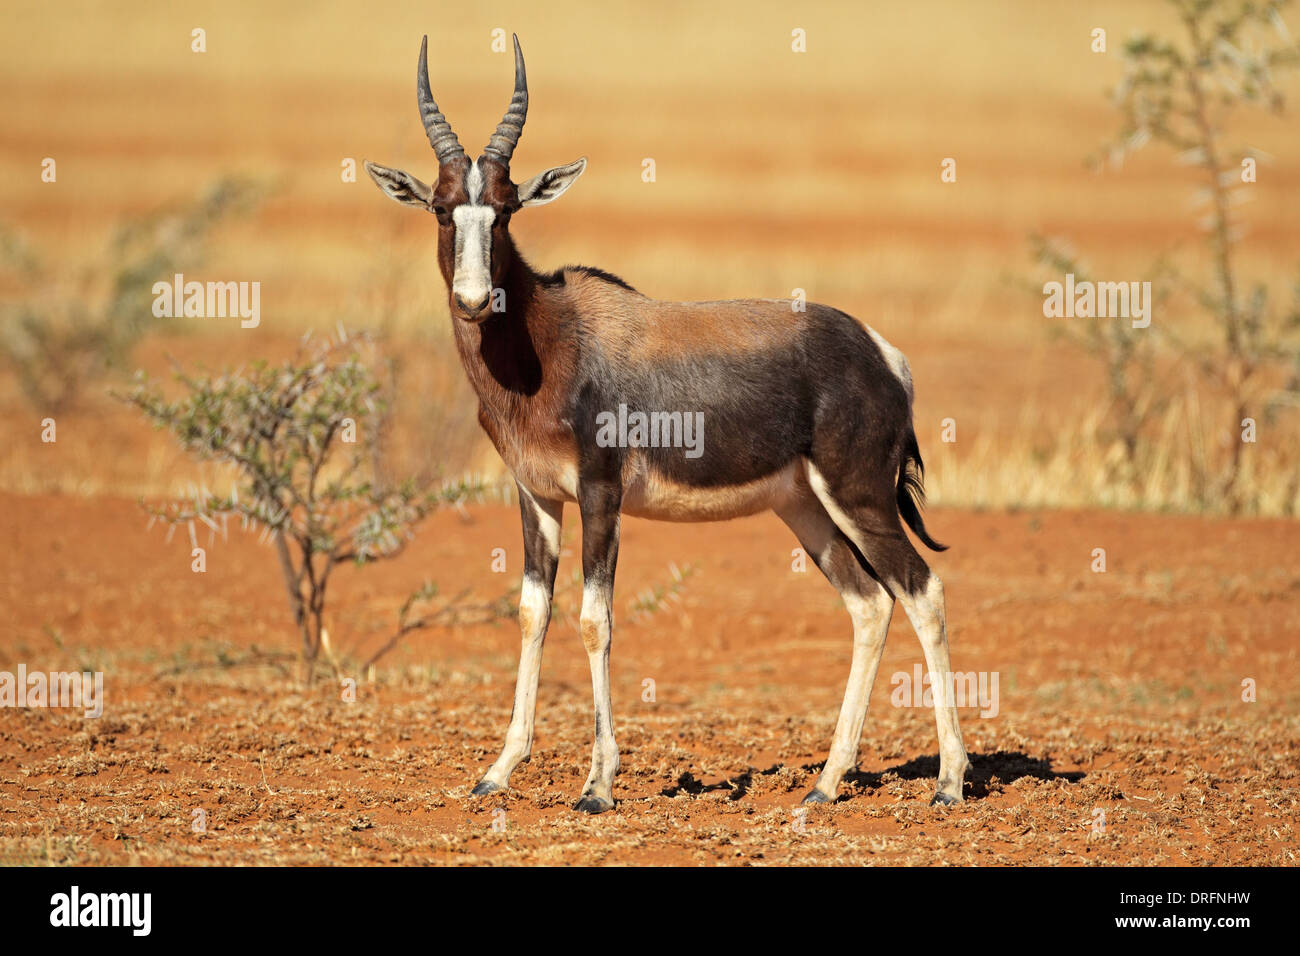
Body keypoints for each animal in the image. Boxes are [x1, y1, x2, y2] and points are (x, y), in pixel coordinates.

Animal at [365, 35, 970, 813]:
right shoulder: (537, 497)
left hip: (859, 497)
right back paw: (825, 784)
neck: (554, 338)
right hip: (804, 507)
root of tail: (884, 354)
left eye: (505, 209)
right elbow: (533, 612)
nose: (474, 301)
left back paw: (949, 783)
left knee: (923, 592)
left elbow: (595, 620)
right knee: (869, 605)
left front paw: (597, 786)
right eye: (443, 209)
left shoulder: (601, 494)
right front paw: (498, 771)